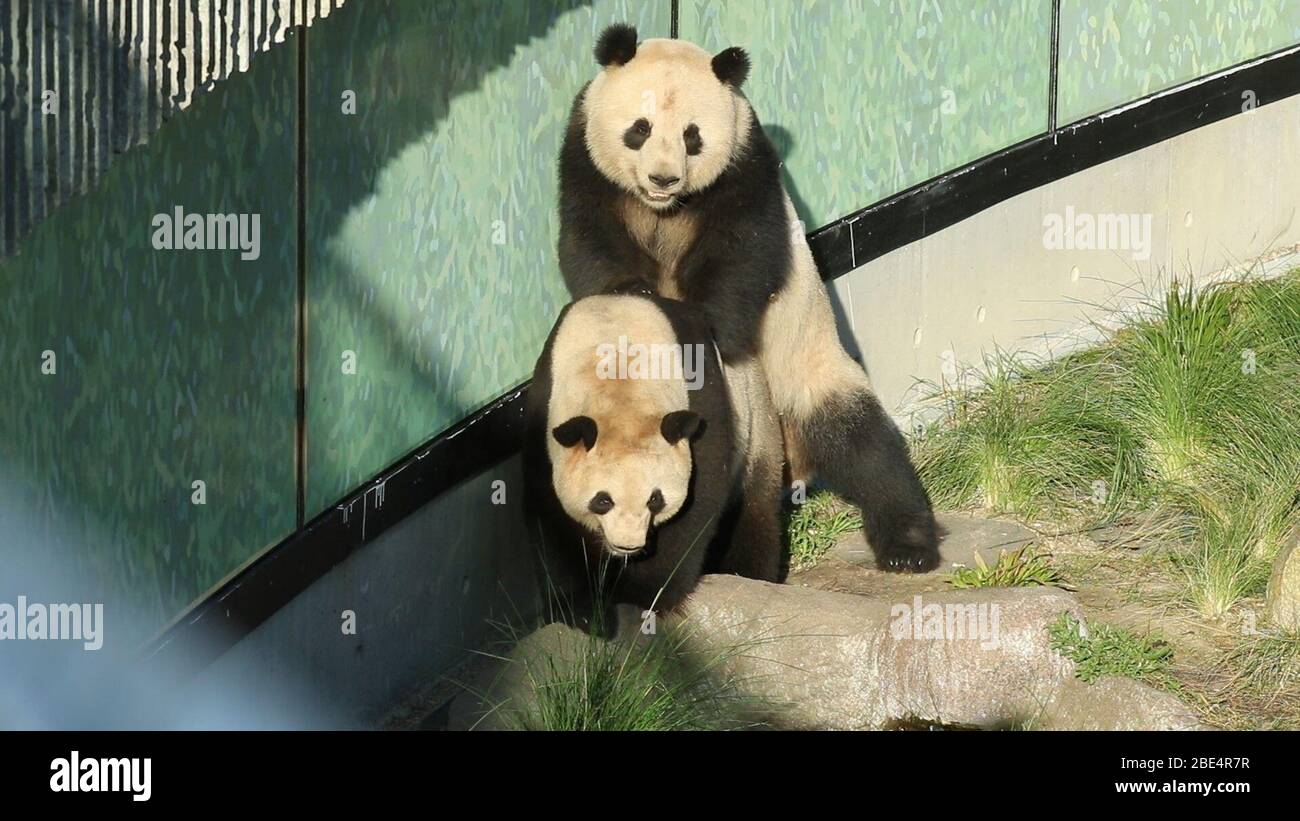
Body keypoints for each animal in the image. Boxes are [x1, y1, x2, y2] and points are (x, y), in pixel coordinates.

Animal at [523, 293, 784, 614]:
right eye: (602, 500)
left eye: (655, 500)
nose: (628, 545)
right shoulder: (545, 411)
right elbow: (550, 515)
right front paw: (580, 602)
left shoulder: (702, 395)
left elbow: (697, 501)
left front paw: (644, 593)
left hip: (755, 426)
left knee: (754, 512)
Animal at [557, 24, 941, 573]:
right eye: (640, 129)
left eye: (693, 136)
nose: (663, 177)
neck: (663, 208)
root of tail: (795, 460)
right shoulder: (584, 160)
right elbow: (589, 244)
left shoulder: (746, 164)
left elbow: (744, 251)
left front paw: (703, 331)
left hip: (807, 370)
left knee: (866, 448)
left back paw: (907, 548)